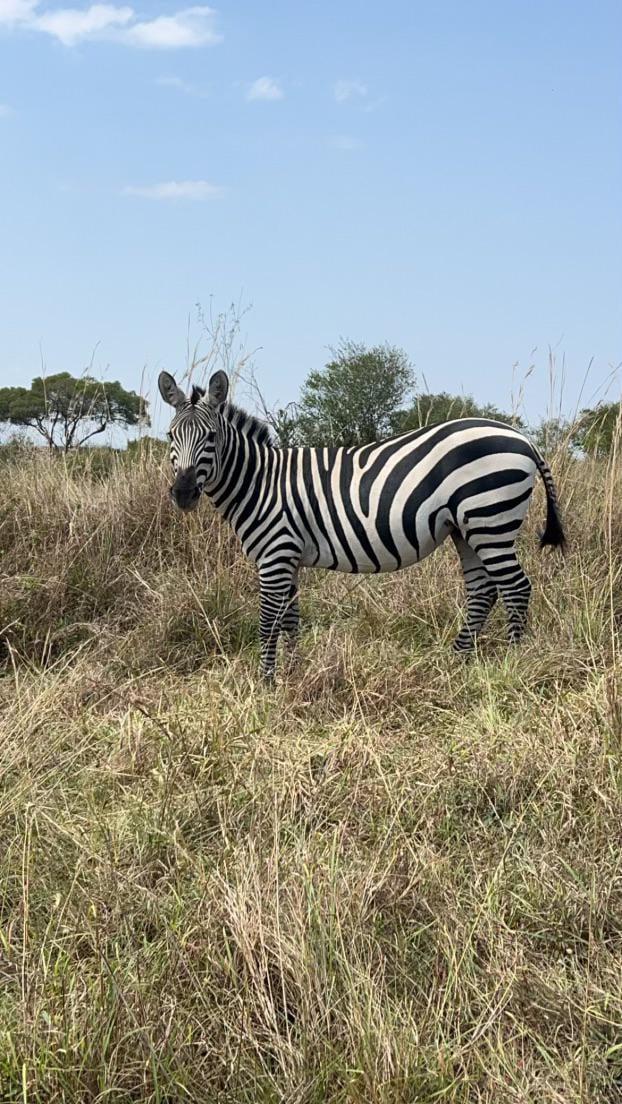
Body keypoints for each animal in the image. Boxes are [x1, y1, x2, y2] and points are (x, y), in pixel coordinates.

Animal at [159, 369, 565, 679]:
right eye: (170, 436)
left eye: (211, 437)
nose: (182, 494)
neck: (261, 482)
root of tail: (523, 438)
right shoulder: (289, 559)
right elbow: (290, 620)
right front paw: (293, 674)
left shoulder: (275, 555)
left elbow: (268, 621)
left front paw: (266, 683)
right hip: (467, 529)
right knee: (484, 591)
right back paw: (457, 661)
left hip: (489, 519)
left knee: (516, 589)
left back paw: (511, 664)